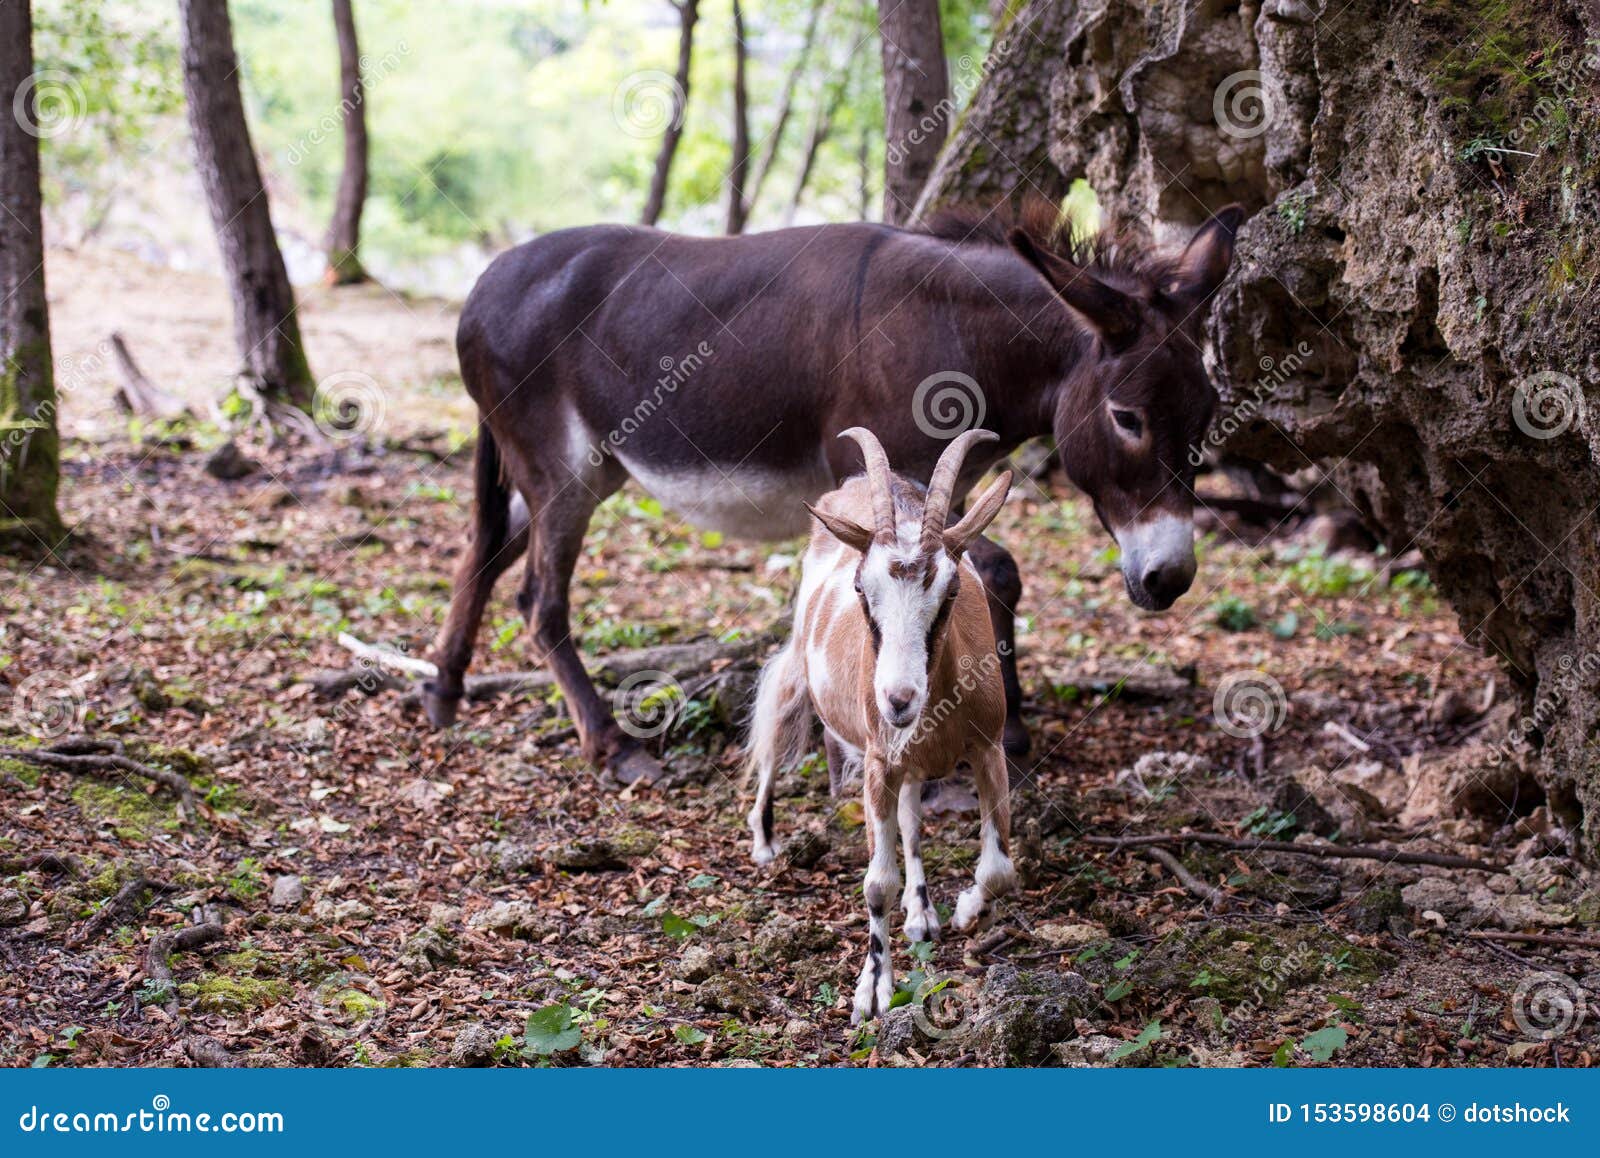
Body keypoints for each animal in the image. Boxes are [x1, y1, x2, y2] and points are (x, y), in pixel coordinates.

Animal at [744, 426, 1016, 1024]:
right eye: (860, 589)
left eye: (951, 592)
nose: (897, 700)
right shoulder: (877, 762)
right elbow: (875, 884)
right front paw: (873, 990)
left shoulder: (988, 749)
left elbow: (998, 870)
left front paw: (967, 913)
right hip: (801, 669)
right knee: (775, 727)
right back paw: (765, 841)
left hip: (911, 762)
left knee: (911, 825)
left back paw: (921, 913)